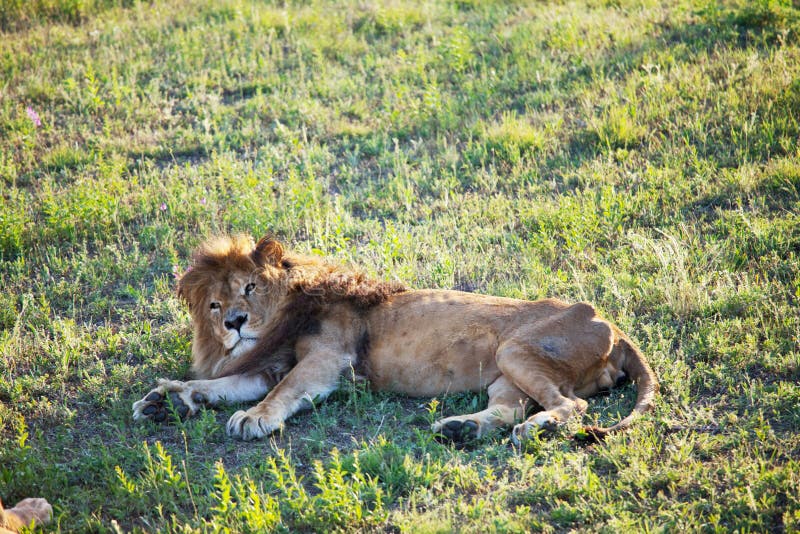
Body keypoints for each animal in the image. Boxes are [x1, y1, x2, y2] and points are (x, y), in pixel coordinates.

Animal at [133, 234, 658, 444]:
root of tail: (613, 325)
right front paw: (168, 399)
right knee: (510, 408)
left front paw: (254, 419)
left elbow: (284, 391)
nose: (235, 323)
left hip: (516, 350)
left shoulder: (330, 359)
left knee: (573, 406)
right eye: (214, 305)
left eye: (249, 288)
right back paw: (461, 429)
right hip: (506, 372)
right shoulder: (266, 363)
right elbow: (221, 386)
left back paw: (537, 428)